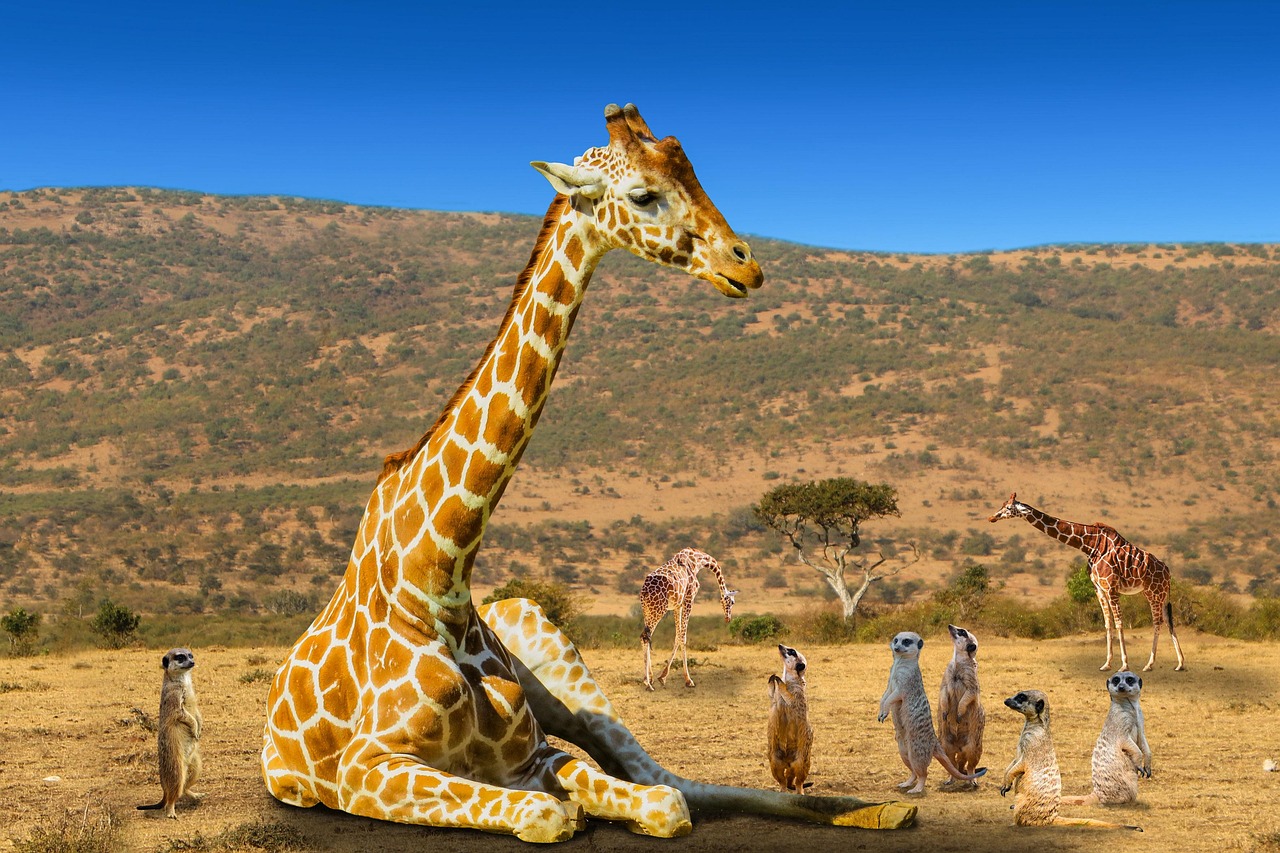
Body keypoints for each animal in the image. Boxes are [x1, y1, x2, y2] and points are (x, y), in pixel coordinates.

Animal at [639, 547, 736, 690]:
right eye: (732, 602)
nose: (728, 618)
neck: (696, 561)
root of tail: (644, 591)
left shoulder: (677, 606)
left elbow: (677, 636)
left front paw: (662, 677)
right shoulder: (689, 599)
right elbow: (683, 636)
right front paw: (688, 680)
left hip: (647, 610)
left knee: (646, 636)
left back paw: (649, 678)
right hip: (659, 609)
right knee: (645, 636)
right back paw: (647, 683)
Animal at [988, 492, 1185, 672]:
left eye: (1008, 508)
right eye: (1002, 505)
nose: (992, 517)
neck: (1089, 545)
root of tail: (1168, 571)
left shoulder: (1111, 587)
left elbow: (1119, 622)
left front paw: (1124, 665)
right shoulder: (1099, 588)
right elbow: (1107, 623)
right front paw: (1106, 664)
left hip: (1154, 591)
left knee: (1157, 621)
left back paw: (1149, 664)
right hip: (1158, 593)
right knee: (1168, 620)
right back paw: (1180, 663)